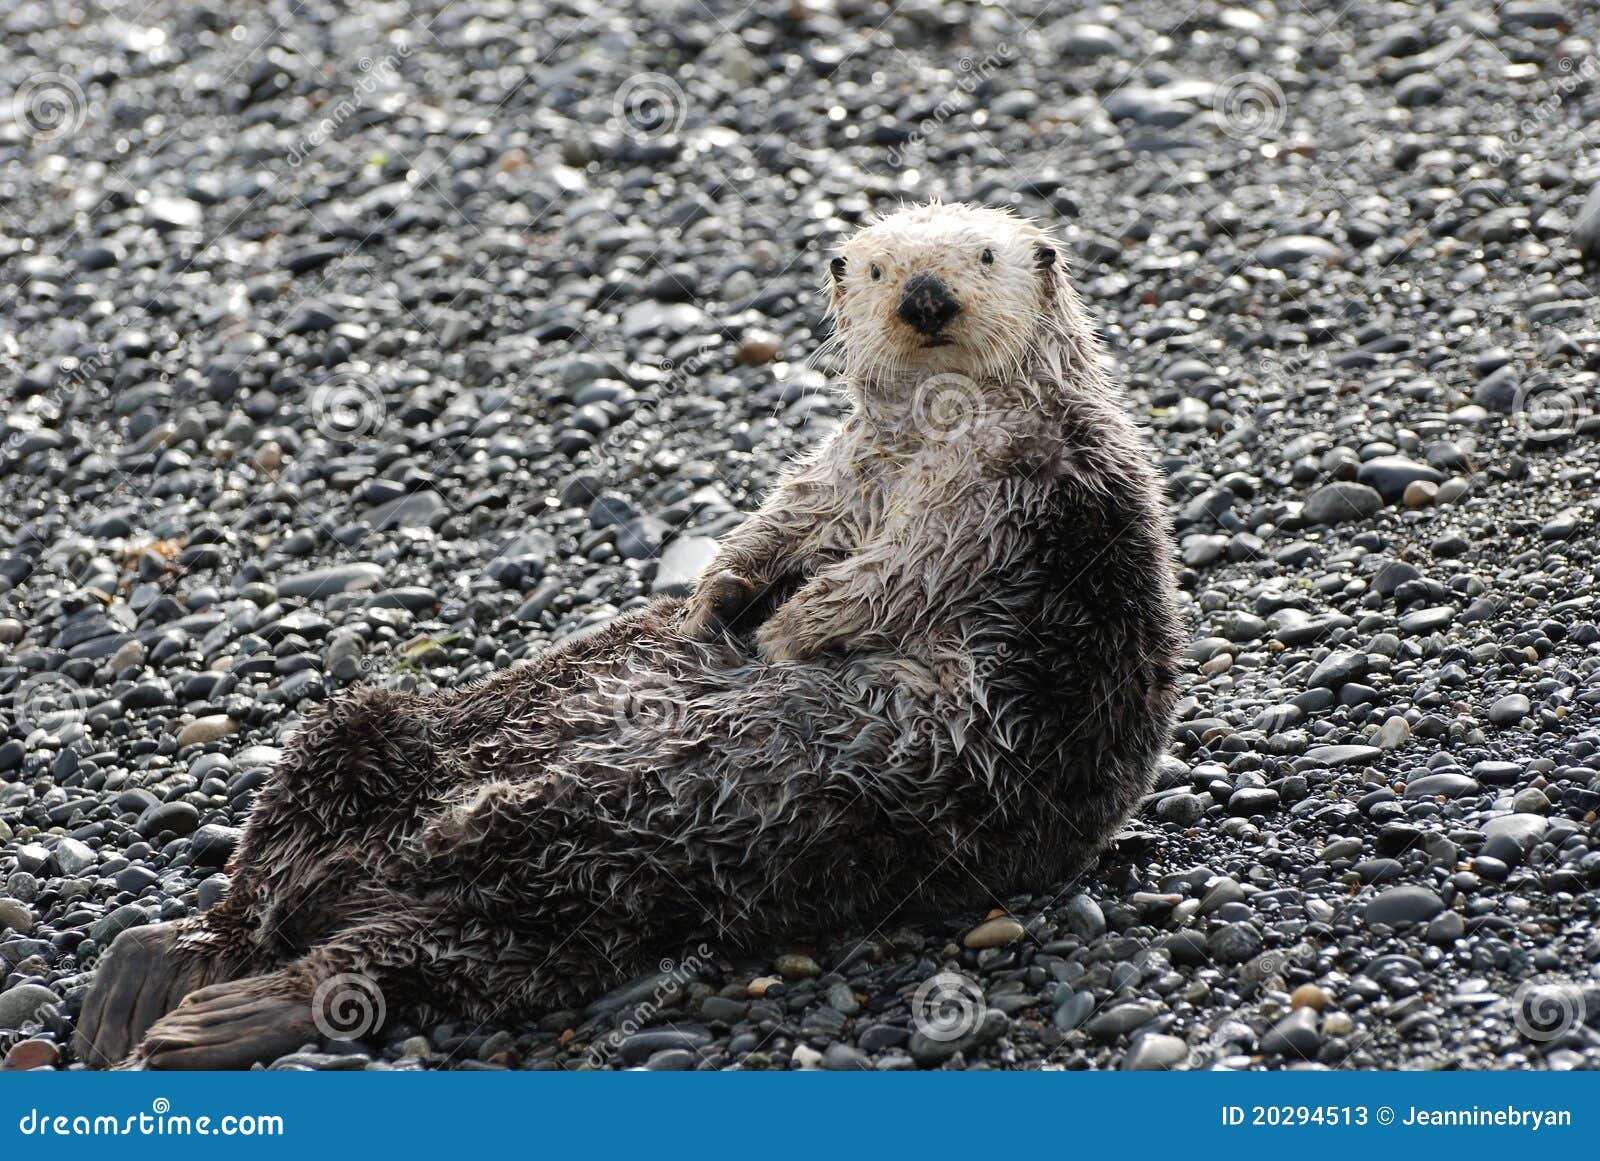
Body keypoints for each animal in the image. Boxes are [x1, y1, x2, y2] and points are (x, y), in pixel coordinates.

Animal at [73, 202, 1182, 1069]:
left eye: (984, 255)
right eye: (875, 267)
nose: (924, 297)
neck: (931, 432)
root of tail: (362, 878)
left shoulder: (1001, 484)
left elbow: (901, 570)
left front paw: (787, 633)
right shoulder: (851, 466)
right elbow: (790, 517)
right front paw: (719, 603)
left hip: (611, 864)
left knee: (409, 960)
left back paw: (191, 1016)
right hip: (371, 732)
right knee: (287, 854)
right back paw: (154, 968)